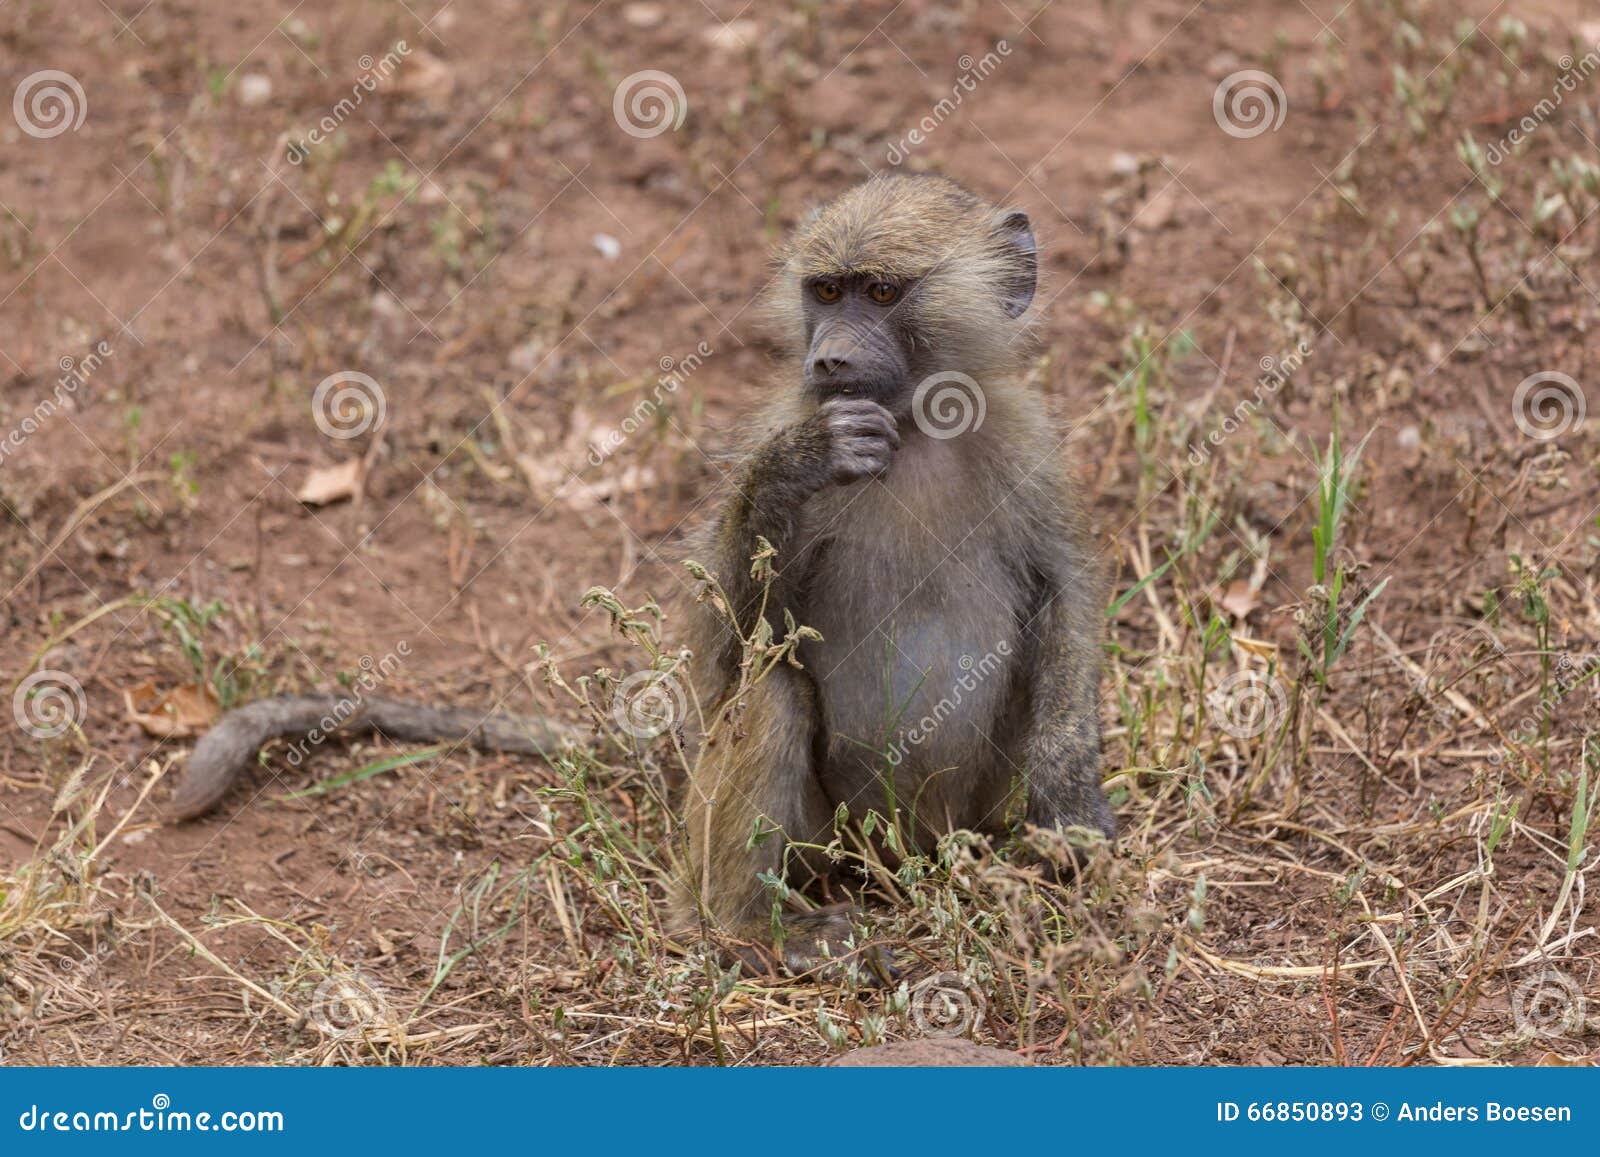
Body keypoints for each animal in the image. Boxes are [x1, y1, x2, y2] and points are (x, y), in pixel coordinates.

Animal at [674, 174, 1113, 978]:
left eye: (881, 292)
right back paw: (750, 933)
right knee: (775, 691)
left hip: (962, 813)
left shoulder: (1026, 442)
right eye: (825, 291)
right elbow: (729, 655)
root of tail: (901, 851)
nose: (830, 362)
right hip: (825, 843)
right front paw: (797, 462)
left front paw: (1067, 798)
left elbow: (1062, 594)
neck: (916, 427)